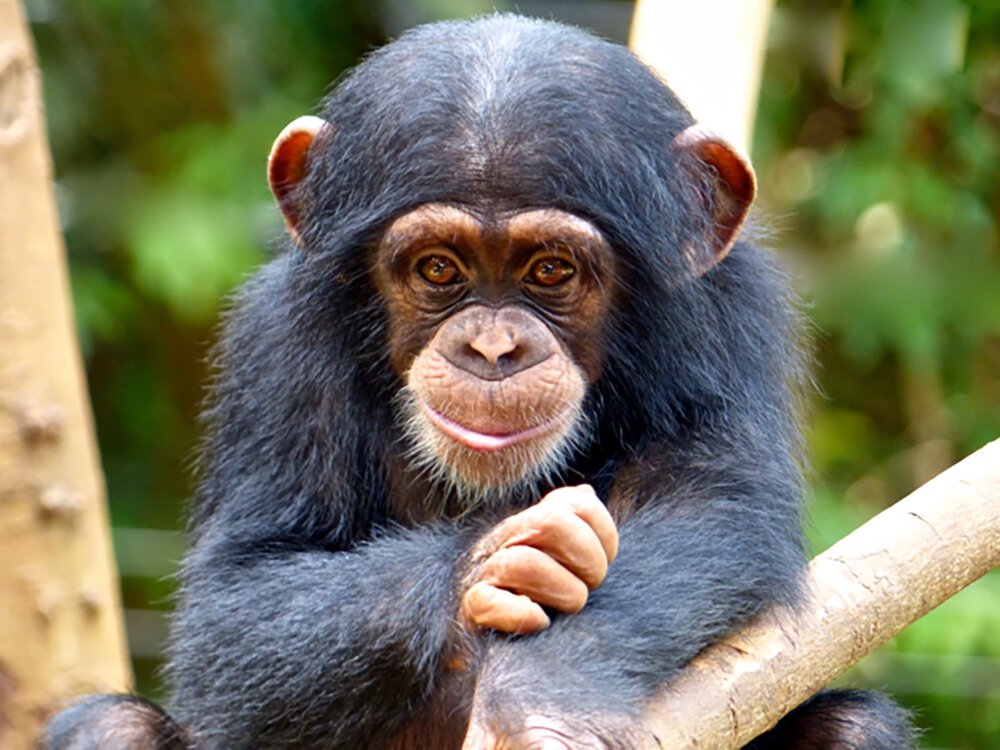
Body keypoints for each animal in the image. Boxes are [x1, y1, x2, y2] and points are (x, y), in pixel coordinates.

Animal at [45, 13, 916, 750]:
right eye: (439, 268)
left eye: (550, 270)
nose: (493, 348)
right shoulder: (277, 339)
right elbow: (239, 597)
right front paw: (499, 558)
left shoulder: (729, 315)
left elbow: (711, 500)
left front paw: (544, 702)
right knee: (111, 728)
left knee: (853, 729)